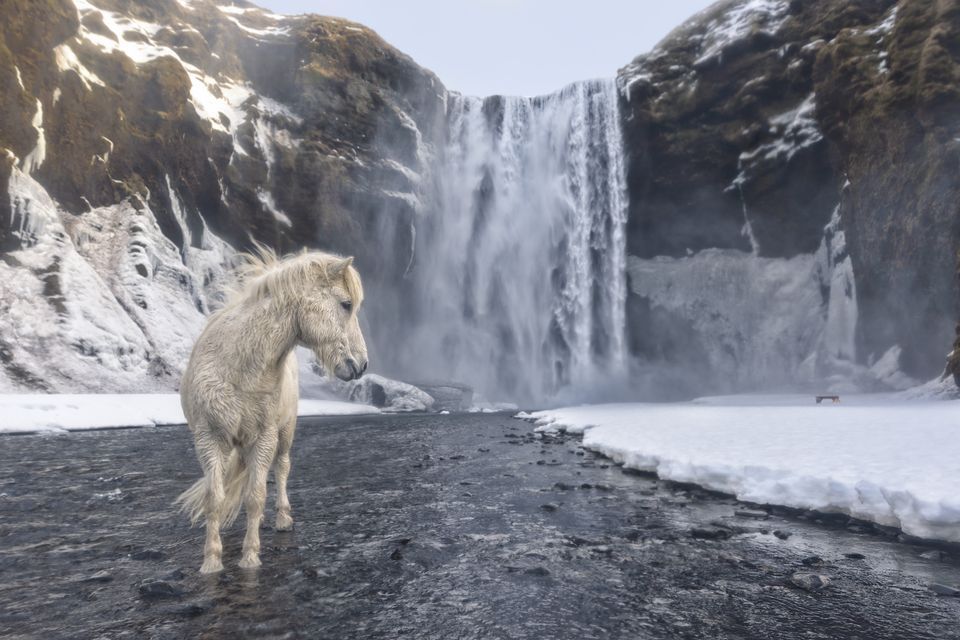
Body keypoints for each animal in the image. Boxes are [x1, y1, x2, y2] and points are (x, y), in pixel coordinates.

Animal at [176, 247, 368, 573]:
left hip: (285, 433)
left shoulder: (264, 438)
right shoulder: (209, 439)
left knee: (282, 469)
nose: (362, 365)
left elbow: (256, 496)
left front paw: (250, 557)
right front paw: (211, 560)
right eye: (346, 304)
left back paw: (282, 518)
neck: (239, 367)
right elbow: (215, 497)